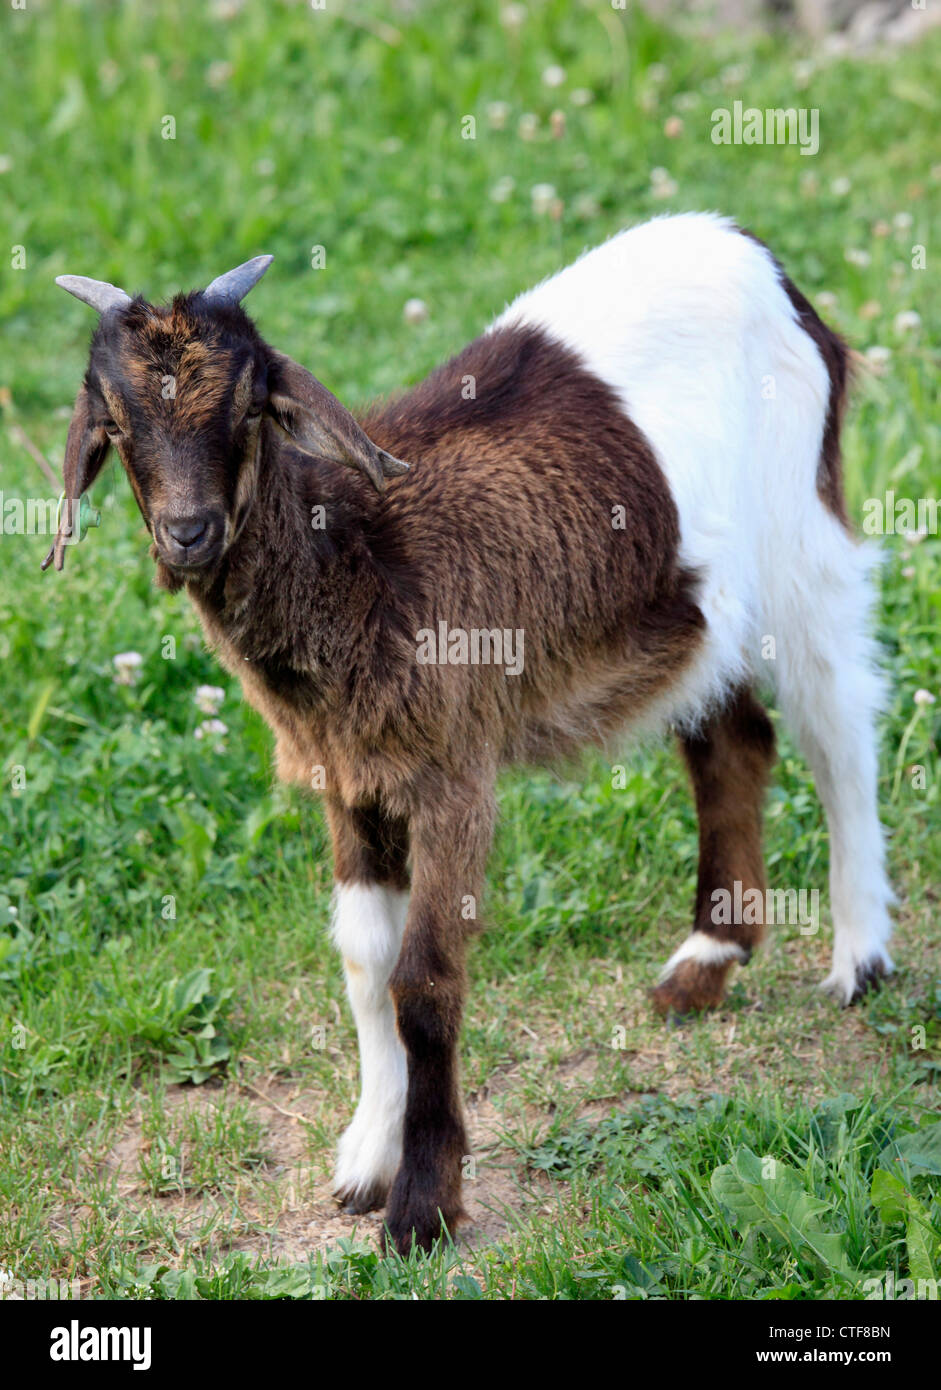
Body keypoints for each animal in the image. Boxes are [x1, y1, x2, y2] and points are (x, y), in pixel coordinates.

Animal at [46, 213, 894, 1254]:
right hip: (696, 606)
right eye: (116, 422)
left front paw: (422, 1205)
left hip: (799, 535)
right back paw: (706, 959)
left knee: (838, 721)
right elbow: (364, 962)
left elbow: (423, 979)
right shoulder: (351, 776)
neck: (360, 557)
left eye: (247, 409)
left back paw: (857, 955)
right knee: (733, 737)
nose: (189, 532)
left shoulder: (453, 772)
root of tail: (758, 255)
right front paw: (365, 1158)